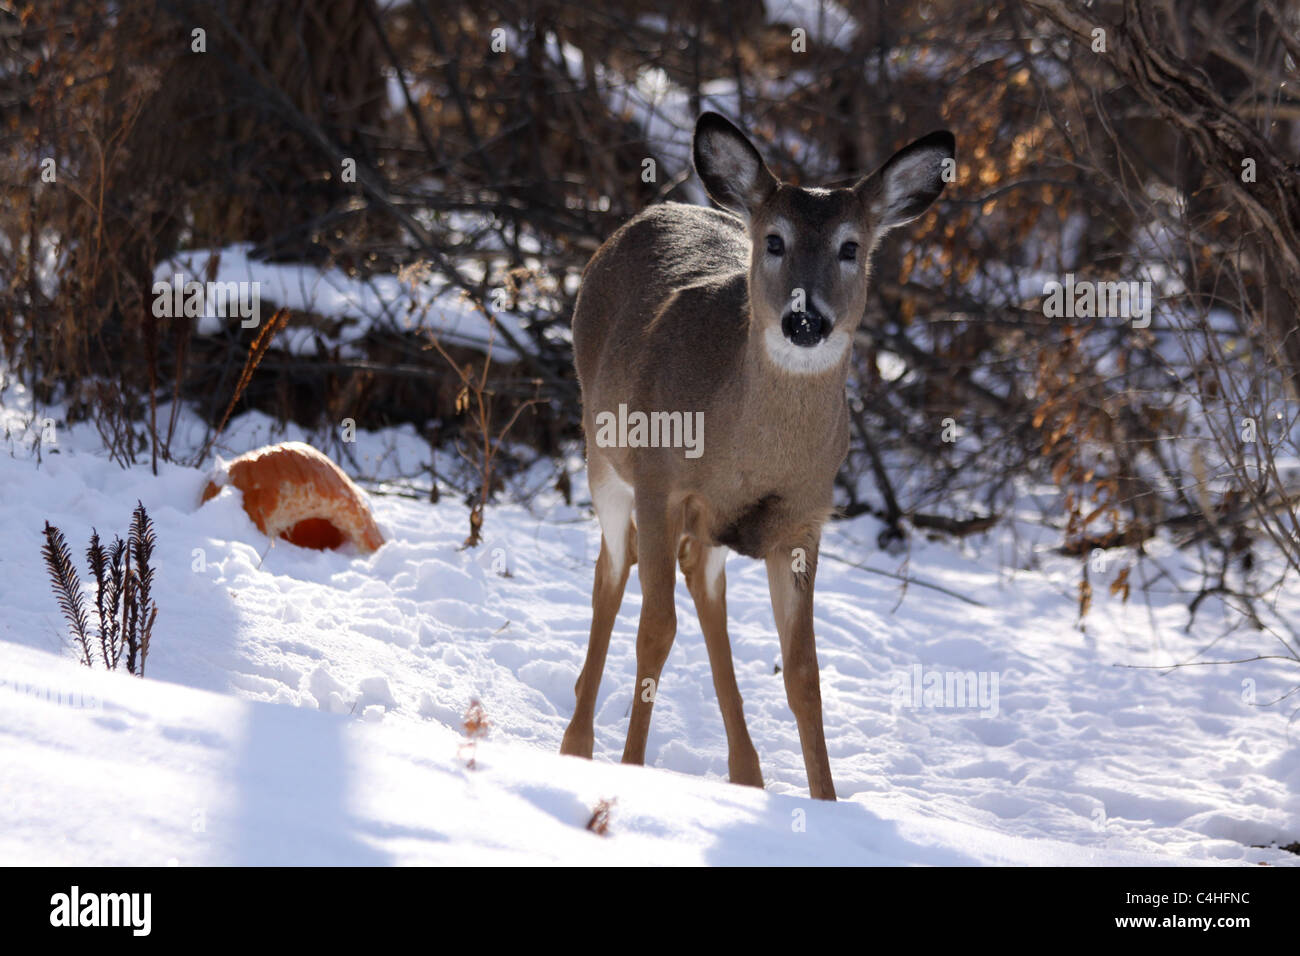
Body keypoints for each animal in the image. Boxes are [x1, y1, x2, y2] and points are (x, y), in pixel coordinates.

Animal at [560, 112, 955, 800]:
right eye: (774, 240)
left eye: (851, 247)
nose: (806, 319)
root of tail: (646, 216)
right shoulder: (659, 482)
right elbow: (654, 630)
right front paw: (631, 769)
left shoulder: (803, 517)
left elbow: (804, 672)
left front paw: (828, 802)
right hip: (601, 450)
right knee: (612, 571)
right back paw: (577, 741)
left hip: (705, 517)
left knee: (698, 577)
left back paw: (747, 774)